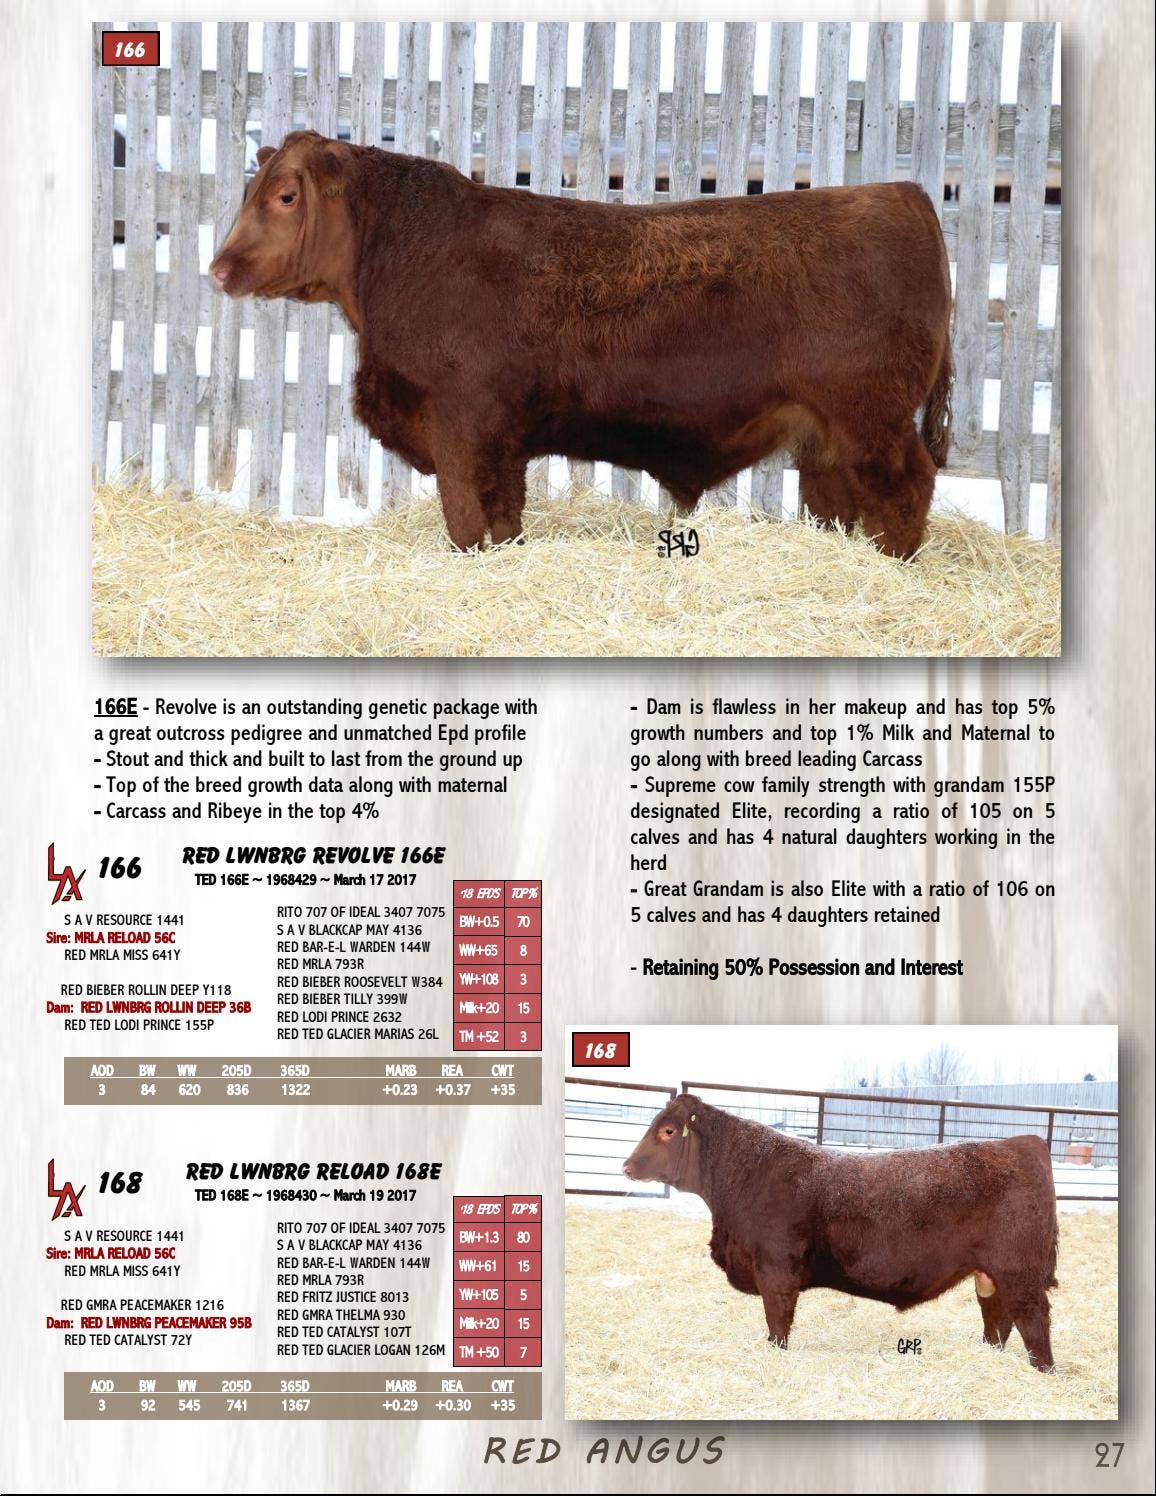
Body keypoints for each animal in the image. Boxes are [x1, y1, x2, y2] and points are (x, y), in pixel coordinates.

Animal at [210, 131, 953, 558]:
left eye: (284, 196)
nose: (218, 268)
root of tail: (904, 194)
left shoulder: (460, 424)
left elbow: (465, 518)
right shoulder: (501, 439)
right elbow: (502, 517)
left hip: (874, 419)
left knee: (908, 487)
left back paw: (894, 566)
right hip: (827, 431)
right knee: (838, 501)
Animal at [622, 1093, 1059, 1370]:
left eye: (667, 1131)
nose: (626, 1167)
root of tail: (1023, 1142)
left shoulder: (776, 1269)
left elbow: (778, 1321)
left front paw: (776, 1355)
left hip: (1019, 1271)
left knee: (1034, 1319)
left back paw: (1044, 1371)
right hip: (991, 1274)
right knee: (998, 1318)